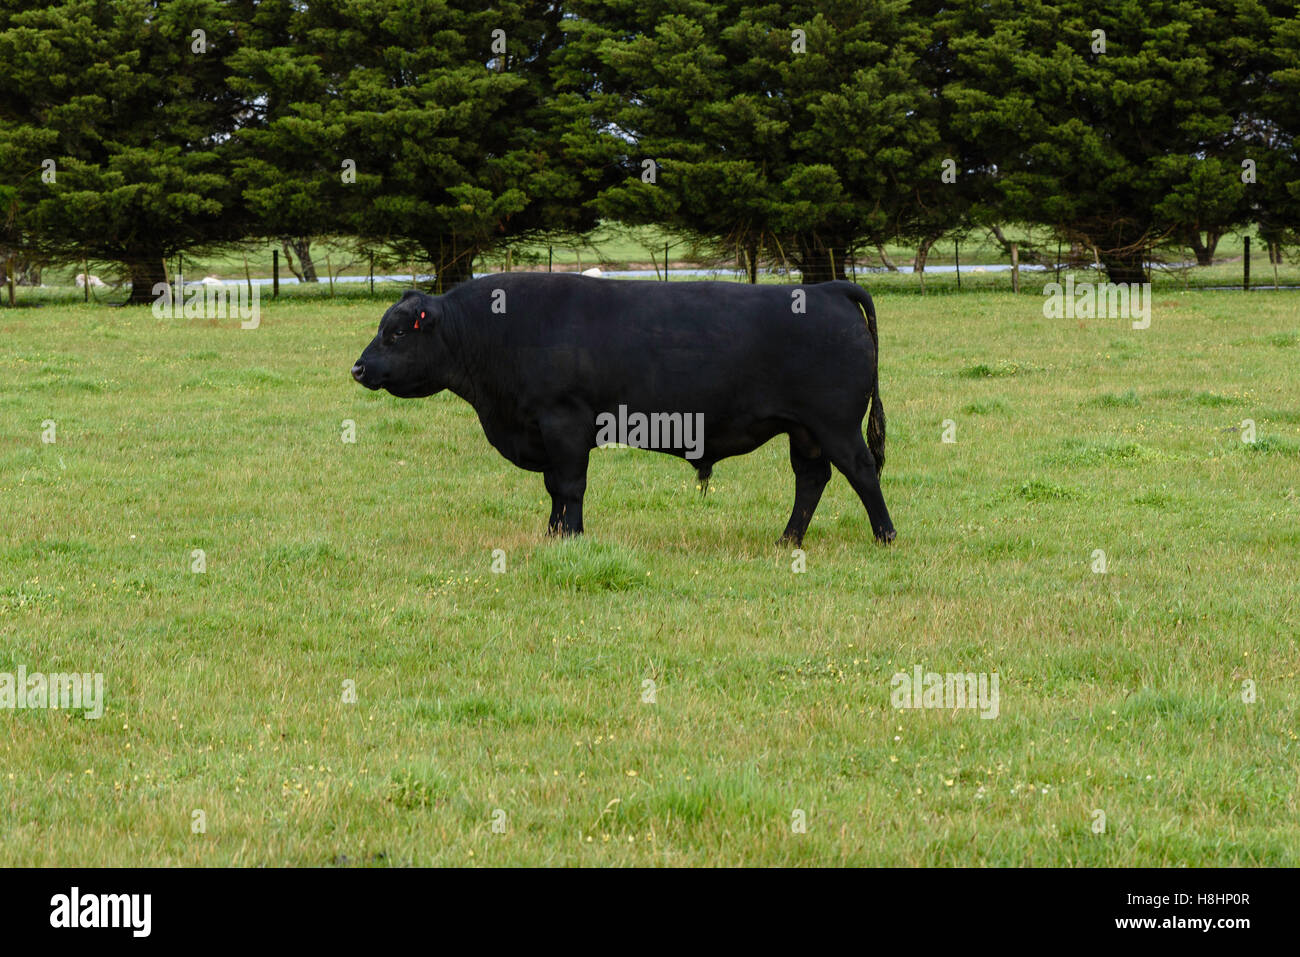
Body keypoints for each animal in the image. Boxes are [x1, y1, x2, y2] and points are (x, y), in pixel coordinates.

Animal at [350, 275, 895, 545]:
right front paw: (553, 533)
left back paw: (884, 536)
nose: (358, 368)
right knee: (812, 479)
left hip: (835, 423)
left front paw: (571, 537)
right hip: (804, 430)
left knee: (862, 471)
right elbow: (554, 487)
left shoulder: (564, 421)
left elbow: (570, 485)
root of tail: (826, 288)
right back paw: (787, 539)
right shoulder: (543, 431)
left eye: (395, 332)